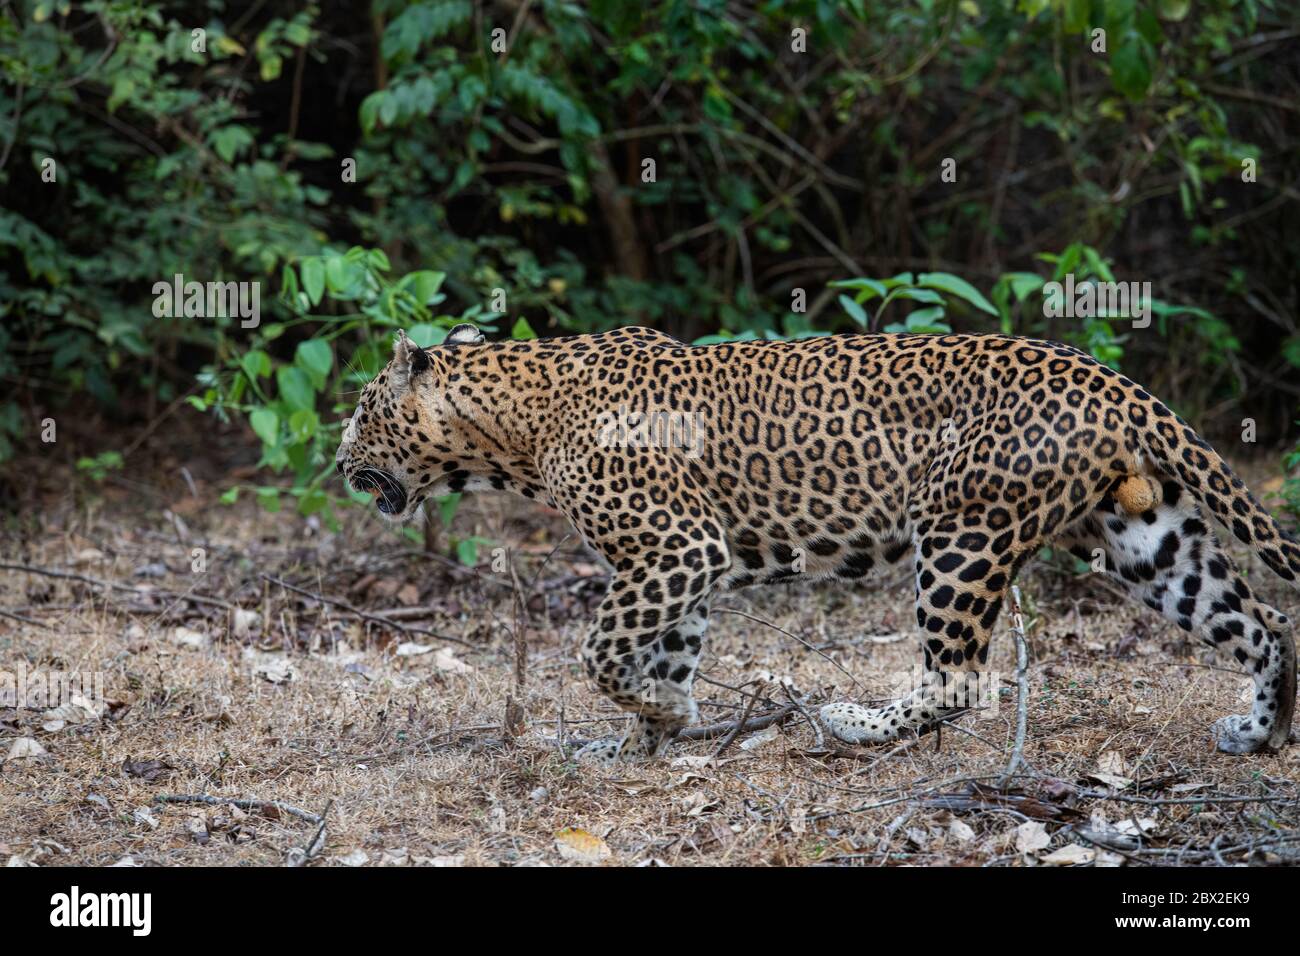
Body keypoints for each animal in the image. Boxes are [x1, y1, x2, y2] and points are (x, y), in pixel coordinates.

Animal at [335, 324, 1300, 763]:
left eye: (361, 409)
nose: (337, 460)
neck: (514, 427)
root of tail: (1113, 379)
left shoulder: (677, 547)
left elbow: (602, 653)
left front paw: (654, 719)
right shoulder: (686, 565)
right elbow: (669, 654)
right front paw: (650, 737)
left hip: (961, 533)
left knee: (957, 675)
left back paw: (857, 723)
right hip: (1145, 535)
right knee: (1263, 625)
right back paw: (1258, 730)